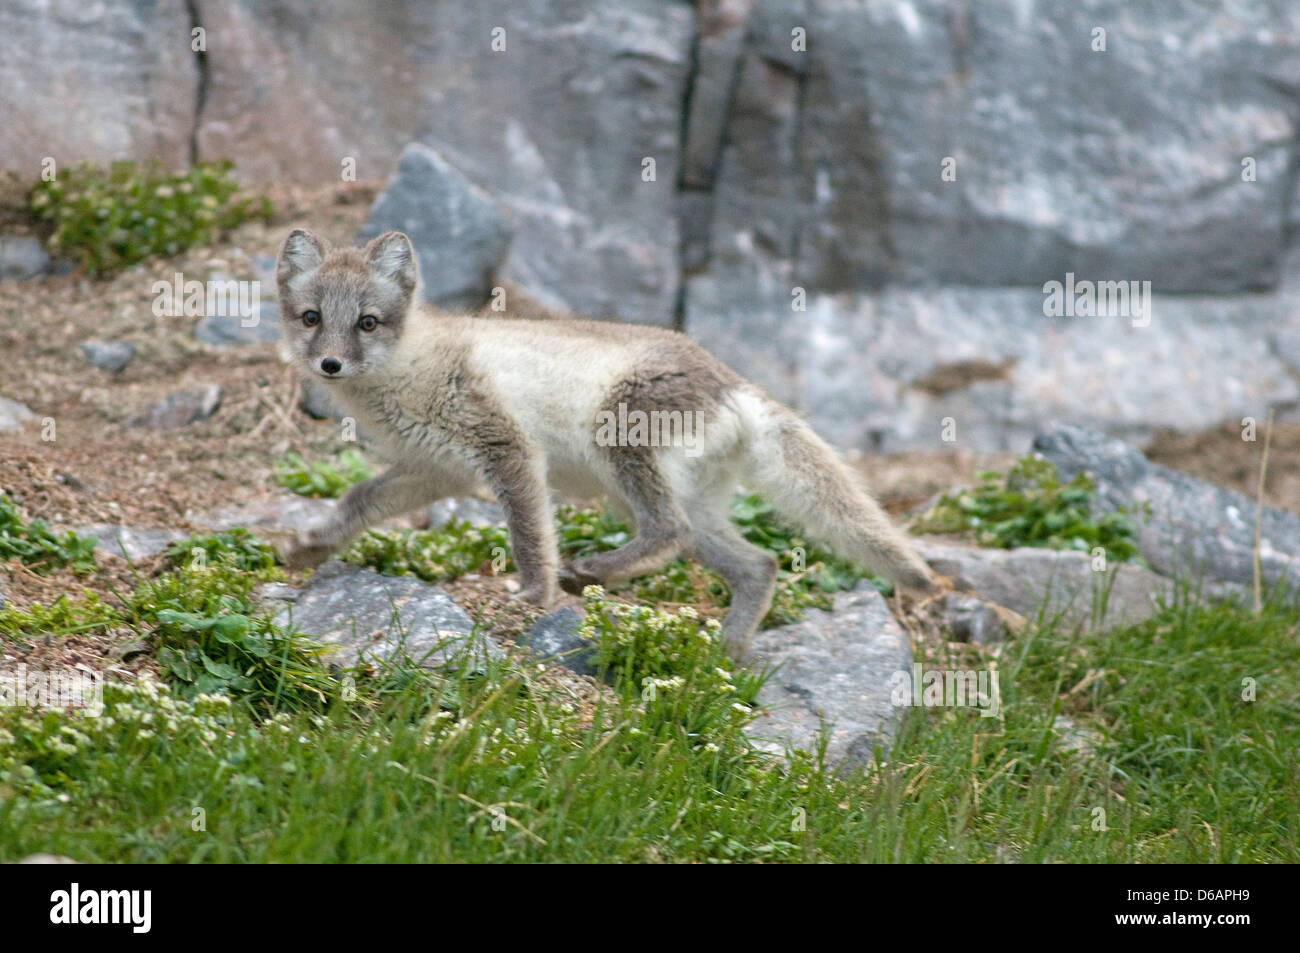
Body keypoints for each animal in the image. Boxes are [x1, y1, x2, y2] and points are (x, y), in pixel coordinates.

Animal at [275, 228, 939, 660]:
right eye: (311, 318)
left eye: (367, 322)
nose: (330, 365)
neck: (408, 371)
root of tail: (735, 382)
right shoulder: (434, 471)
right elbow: (359, 500)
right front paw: (313, 547)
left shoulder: (506, 448)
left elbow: (529, 538)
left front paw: (534, 596)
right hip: (674, 498)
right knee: (756, 562)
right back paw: (725, 651)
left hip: (619, 443)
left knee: (671, 533)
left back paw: (589, 573)